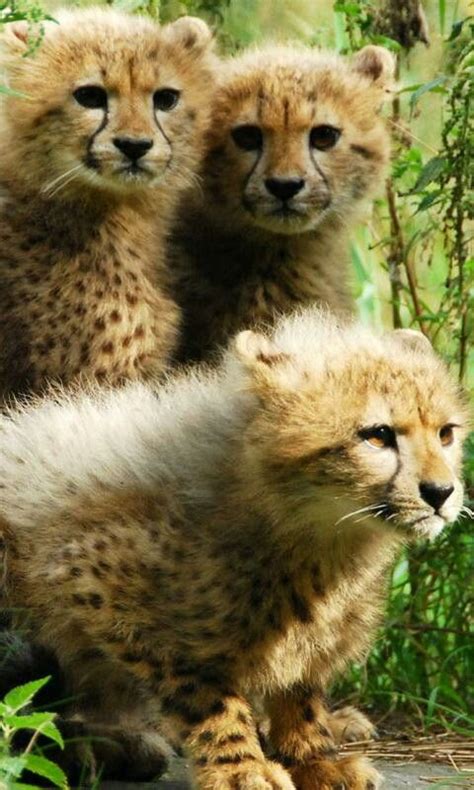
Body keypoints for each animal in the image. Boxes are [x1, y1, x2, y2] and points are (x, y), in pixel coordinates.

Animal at [0, 307, 467, 788]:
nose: (441, 492)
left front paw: (313, 758)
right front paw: (242, 767)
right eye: (377, 435)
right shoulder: (90, 578)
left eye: (445, 434)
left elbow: (299, 687)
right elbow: (206, 692)